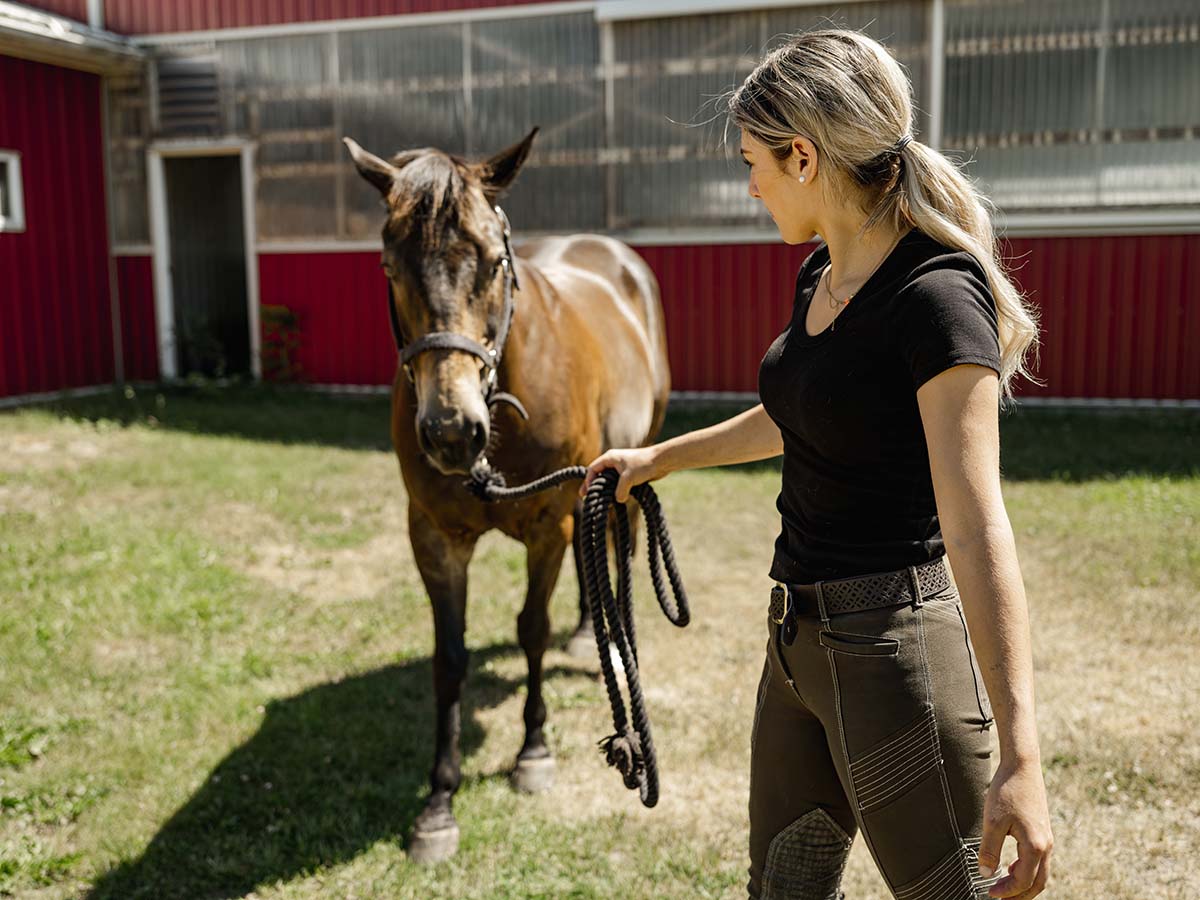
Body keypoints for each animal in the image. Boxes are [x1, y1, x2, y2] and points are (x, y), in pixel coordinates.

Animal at [344, 128, 671, 863]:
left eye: (494, 262)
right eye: (389, 267)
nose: (450, 431)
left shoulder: (546, 522)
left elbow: (530, 629)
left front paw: (533, 753)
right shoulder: (434, 535)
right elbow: (450, 657)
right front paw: (438, 804)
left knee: (618, 542)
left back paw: (606, 645)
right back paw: (586, 630)